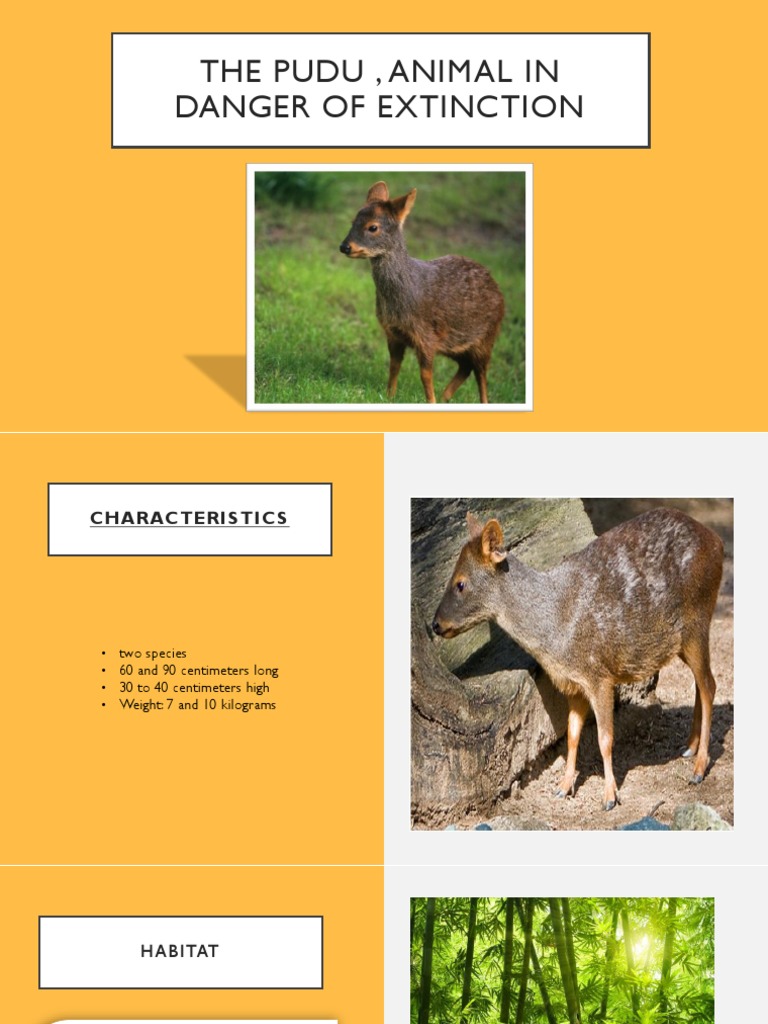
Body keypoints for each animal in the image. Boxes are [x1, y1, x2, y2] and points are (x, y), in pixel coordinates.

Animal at [339, 181, 505, 403]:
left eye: (373, 227)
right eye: (353, 221)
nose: (344, 246)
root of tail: (497, 288)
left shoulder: (425, 335)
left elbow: (425, 374)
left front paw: (430, 401)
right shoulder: (393, 333)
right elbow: (394, 366)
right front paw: (389, 396)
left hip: (486, 336)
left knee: (482, 371)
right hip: (457, 342)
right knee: (466, 366)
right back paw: (445, 397)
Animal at [431, 508, 723, 810]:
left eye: (460, 583)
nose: (435, 624)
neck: (554, 633)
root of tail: (717, 544)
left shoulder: (600, 675)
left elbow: (605, 738)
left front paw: (609, 796)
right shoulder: (572, 683)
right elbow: (572, 735)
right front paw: (563, 786)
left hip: (697, 621)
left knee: (709, 685)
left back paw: (699, 767)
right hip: (682, 641)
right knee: (701, 683)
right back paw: (689, 747)